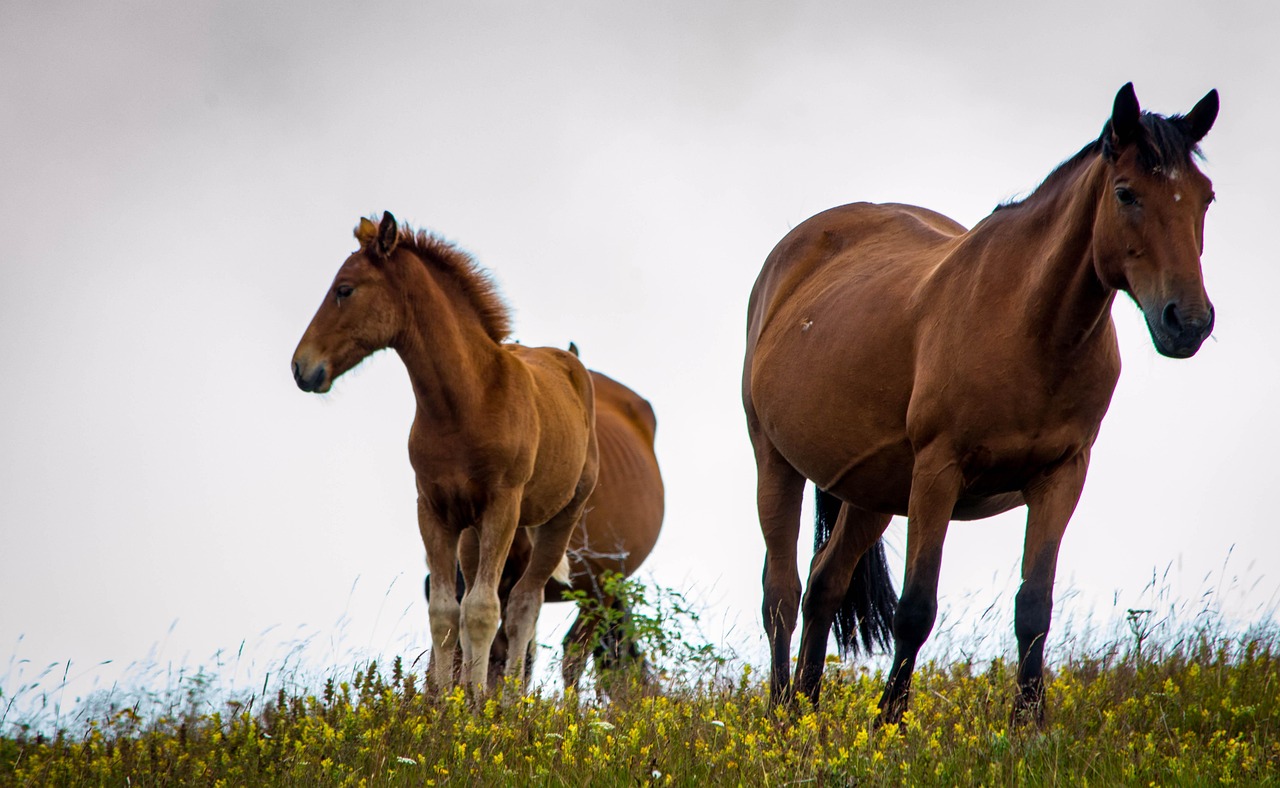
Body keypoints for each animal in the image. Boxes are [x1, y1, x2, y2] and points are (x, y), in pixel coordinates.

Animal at [292, 212, 599, 693]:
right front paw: (444, 700)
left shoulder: (502, 507)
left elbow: (484, 610)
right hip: (473, 533)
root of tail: (571, 364)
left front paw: (477, 704)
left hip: (559, 517)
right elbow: (445, 612)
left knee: (524, 604)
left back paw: (511, 700)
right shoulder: (433, 508)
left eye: (344, 289)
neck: (466, 401)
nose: (301, 367)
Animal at [742, 83, 1218, 726]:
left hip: (873, 491)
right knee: (782, 594)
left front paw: (1028, 726)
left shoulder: (1061, 475)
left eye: (1205, 197)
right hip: (776, 461)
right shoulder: (938, 472)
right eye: (1126, 193)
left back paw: (807, 713)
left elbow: (1034, 607)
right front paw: (890, 723)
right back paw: (780, 717)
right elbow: (916, 609)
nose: (1187, 322)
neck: (1030, 329)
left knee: (824, 583)